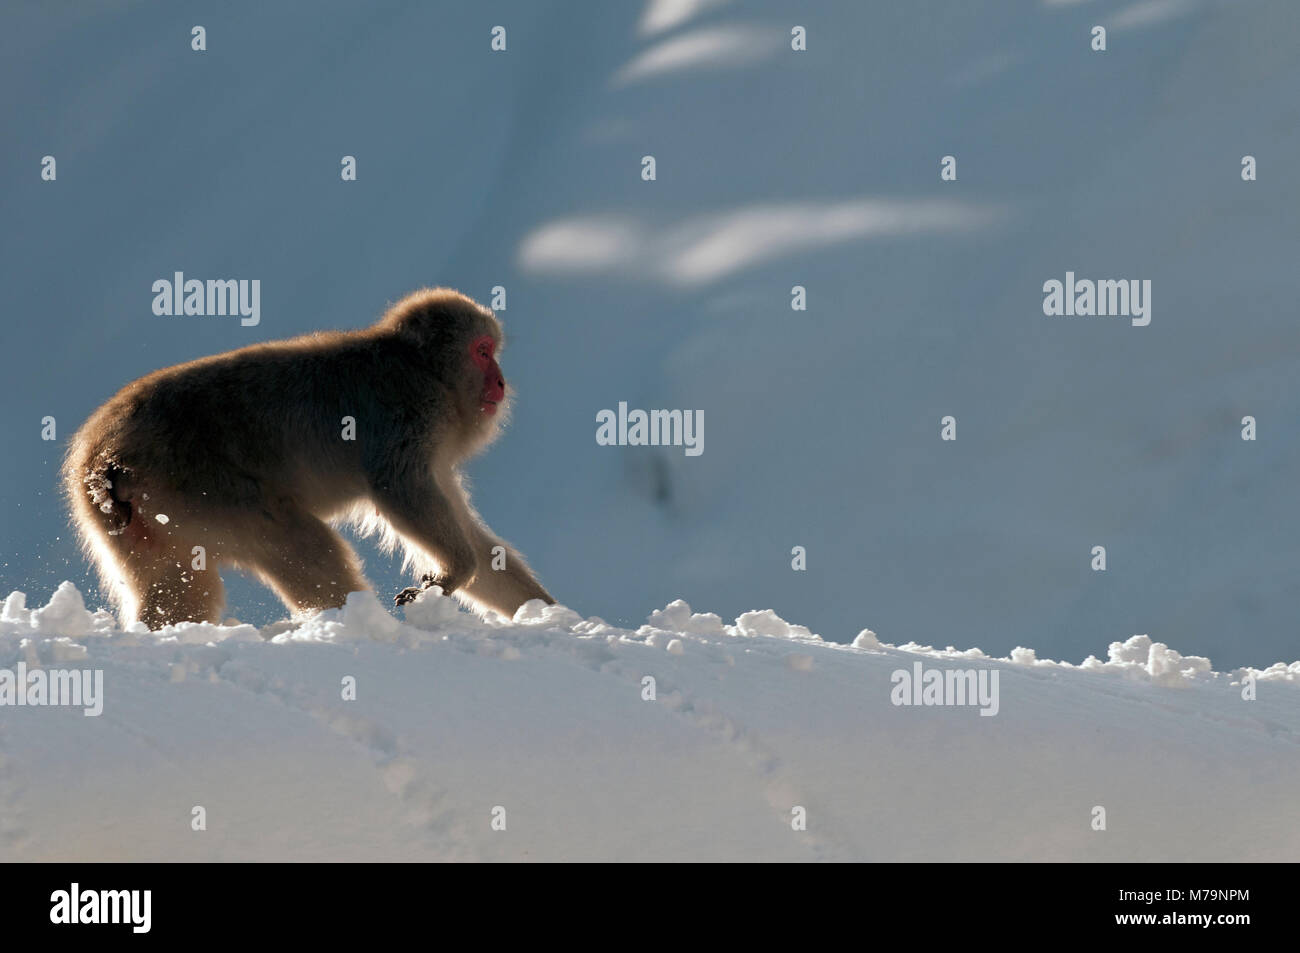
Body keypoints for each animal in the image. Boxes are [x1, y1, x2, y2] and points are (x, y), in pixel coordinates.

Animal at [62, 287, 556, 629]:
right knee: (296, 539)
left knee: (175, 582)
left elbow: (470, 533)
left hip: (136, 517)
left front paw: (550, 614)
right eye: (482, 352)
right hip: (196, 484)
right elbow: (399, 488)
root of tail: (100, 457)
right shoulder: (410, 415)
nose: (501, 383)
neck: (422, 369)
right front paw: (453, 573)